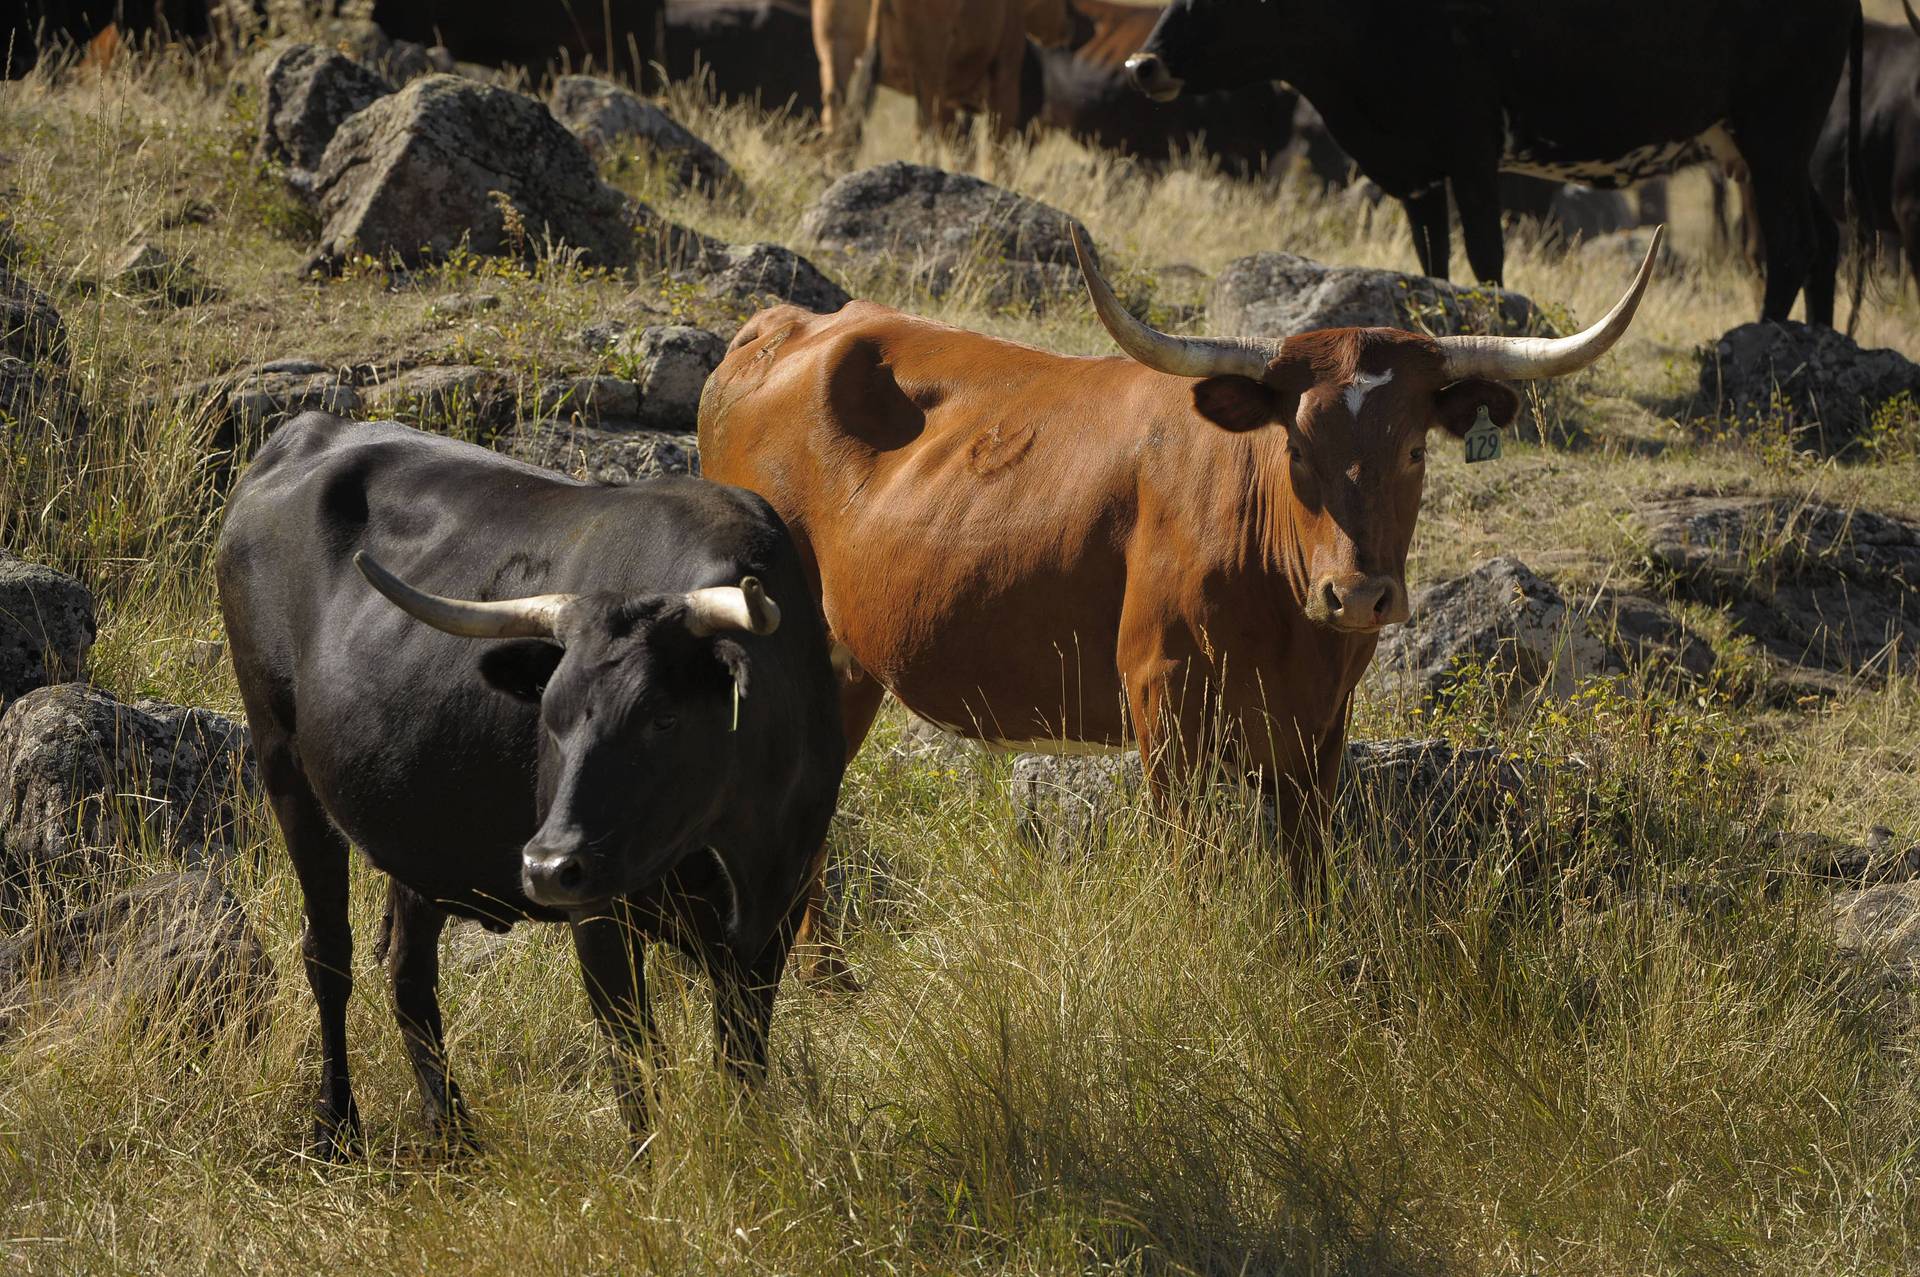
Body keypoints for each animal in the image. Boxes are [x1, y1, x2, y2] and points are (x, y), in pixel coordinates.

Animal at [216, 414, 845, 1158]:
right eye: (549, 714)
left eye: (662, 717)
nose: (546, 866)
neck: (736, 844)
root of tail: (308, 431)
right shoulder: (600, 912)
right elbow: (632, 1052)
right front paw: (648, 1166)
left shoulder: (774, 911)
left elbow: (742, 1056)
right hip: (284, 766)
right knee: (329, 955)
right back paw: (336, 1127)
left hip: (420, 834)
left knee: (408, 974)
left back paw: (455, 1134)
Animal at [698, 227, 1662, 986]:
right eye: (1296, 448)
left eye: (1416, 449)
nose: (1358, 593)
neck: (1290, 623)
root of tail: (786, 326)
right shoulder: (1163, 701)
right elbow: (1190, 866)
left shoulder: (1320, 731)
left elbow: (1309, 867)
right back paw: (811, 972)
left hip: (852, 664)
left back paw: (821, 969)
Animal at [813, 0, 1073, 140]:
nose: (1065, 28)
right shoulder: (1005, 72)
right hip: (928, 71)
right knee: (925, 131)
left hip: (837, 58)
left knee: (836, 121)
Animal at [1124, 0, 1861, 326]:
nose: (1140, 64)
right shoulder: (1415, 168)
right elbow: (1433, 262)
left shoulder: (1472, 149)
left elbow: (1484, 260)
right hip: (1766, 150)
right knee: (1825, 240)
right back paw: (1819, 346)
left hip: (1775, 136)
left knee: (1791, 245)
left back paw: (1767, 343)